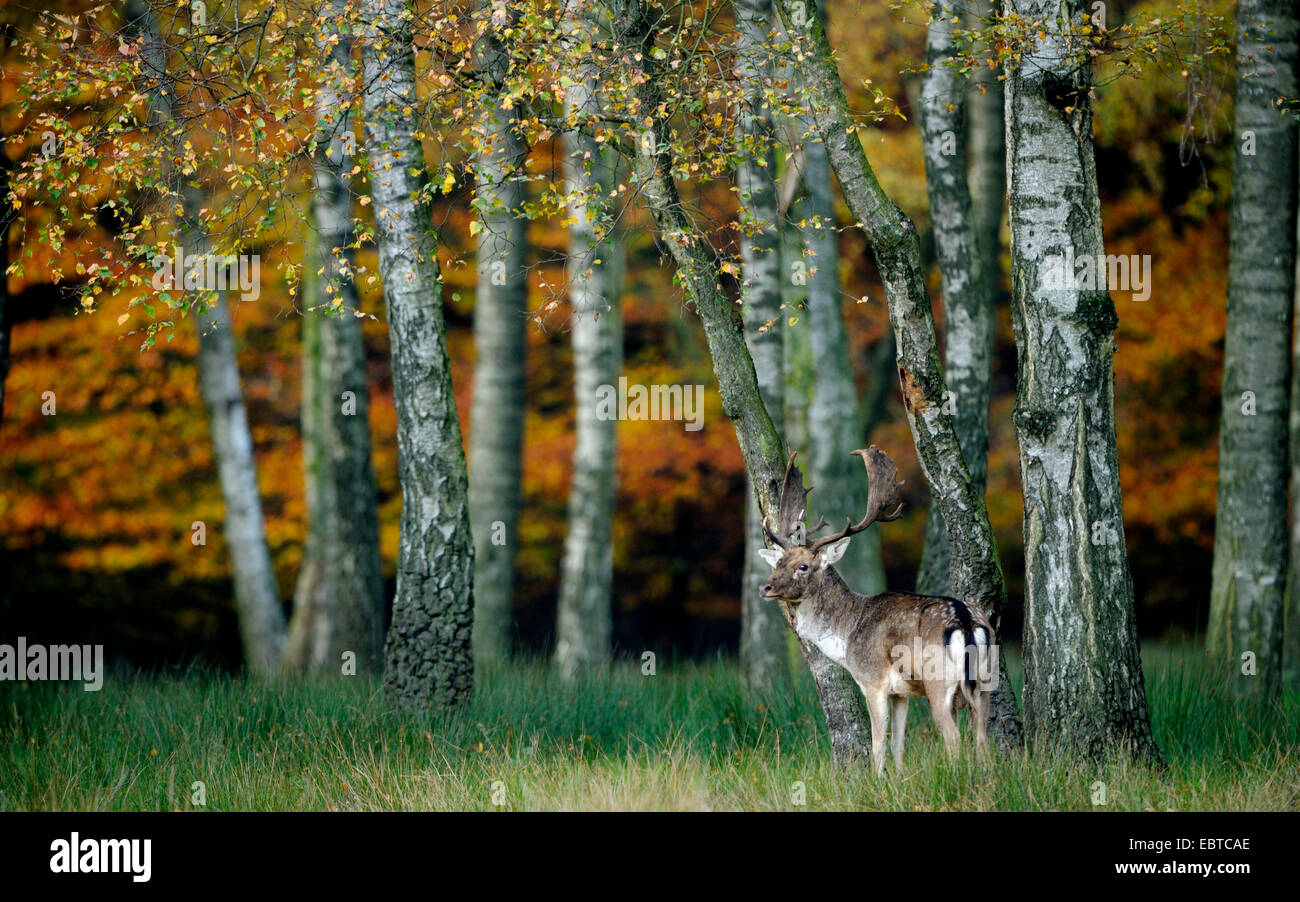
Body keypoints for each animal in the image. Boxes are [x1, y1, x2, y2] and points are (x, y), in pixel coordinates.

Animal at [756, 445, 995, 774]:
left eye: (803, 566)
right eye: (778, 562)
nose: (765, 588)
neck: (847, 634)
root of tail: (966, 621)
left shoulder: (873, 681)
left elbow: (878, 744)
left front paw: (878, 780)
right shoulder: (901, 693)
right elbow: (898, 744)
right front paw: (899, 780)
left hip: (939, 682)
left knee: (954, 738)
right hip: (986, 682)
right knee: (983, 738)